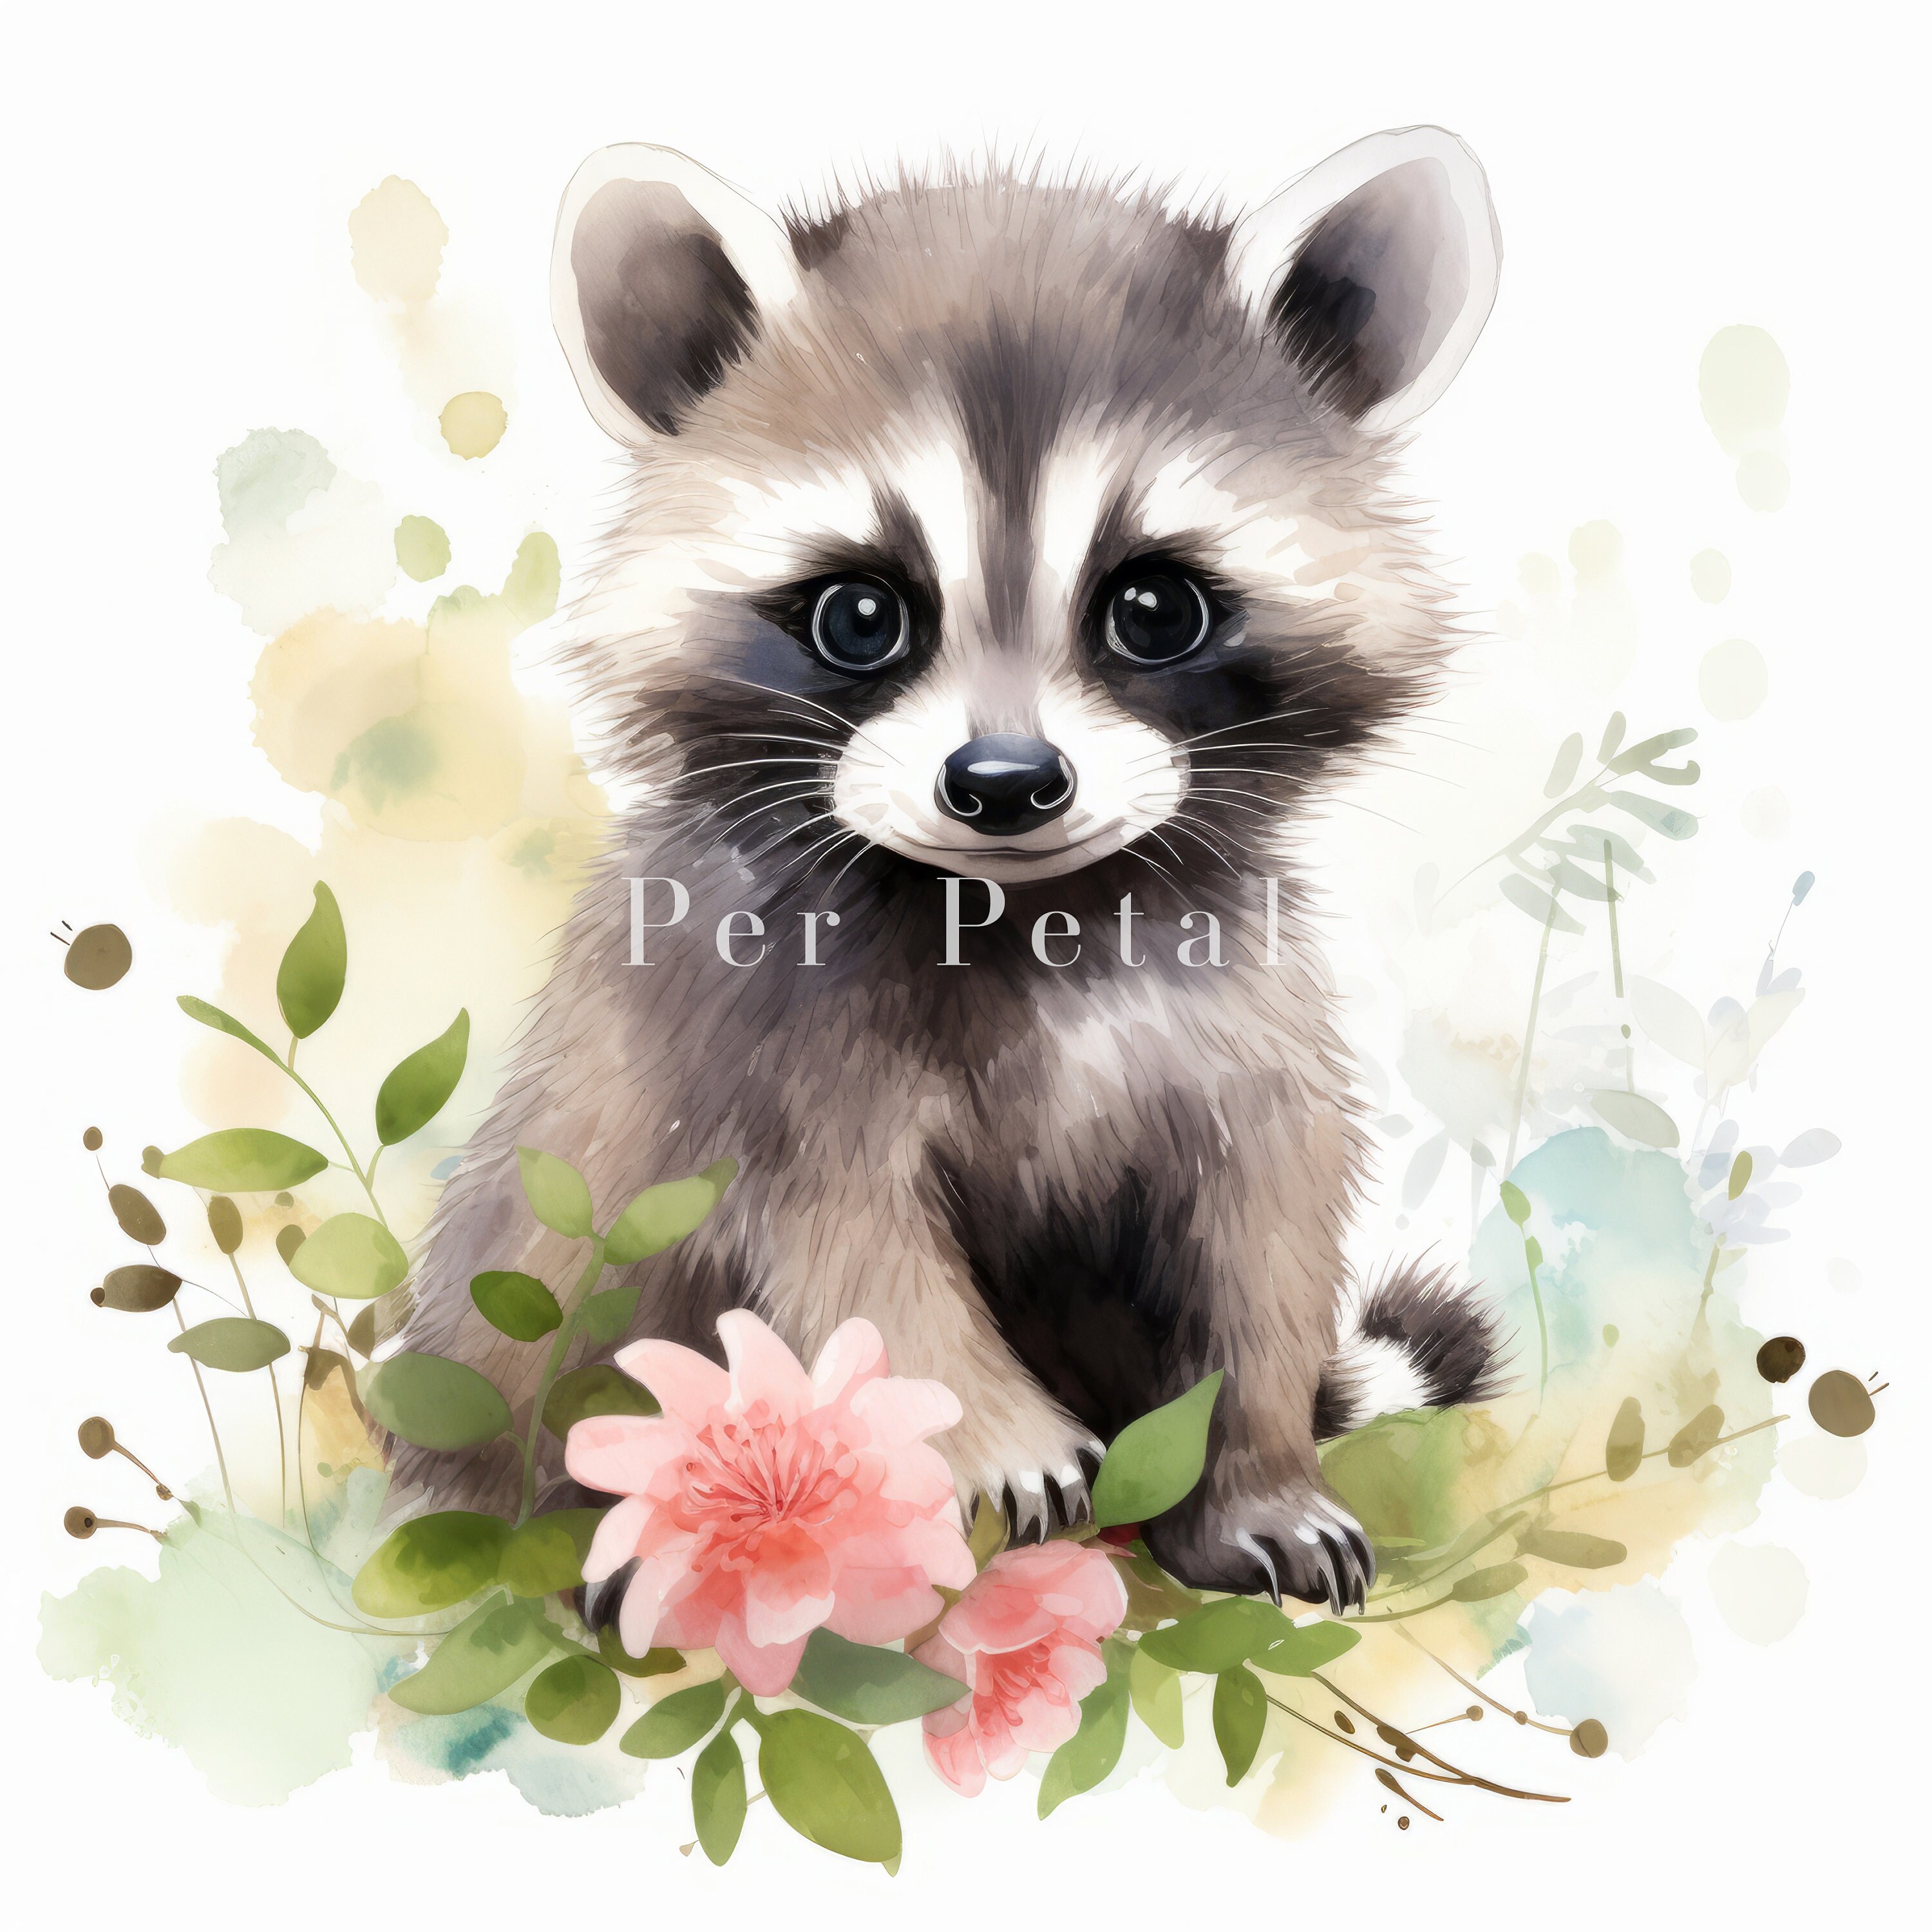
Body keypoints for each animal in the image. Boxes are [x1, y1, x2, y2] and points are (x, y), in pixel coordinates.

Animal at [392, 128, 1506, 1614]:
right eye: (862, 613)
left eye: (1155, 606)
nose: (1006, 784)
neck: (1020, 903)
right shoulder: (751, 1021)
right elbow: (852, 1254)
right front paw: (995, 1435)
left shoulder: (1234, 1002)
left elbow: (1263, 1222)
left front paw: (1255, 1475)